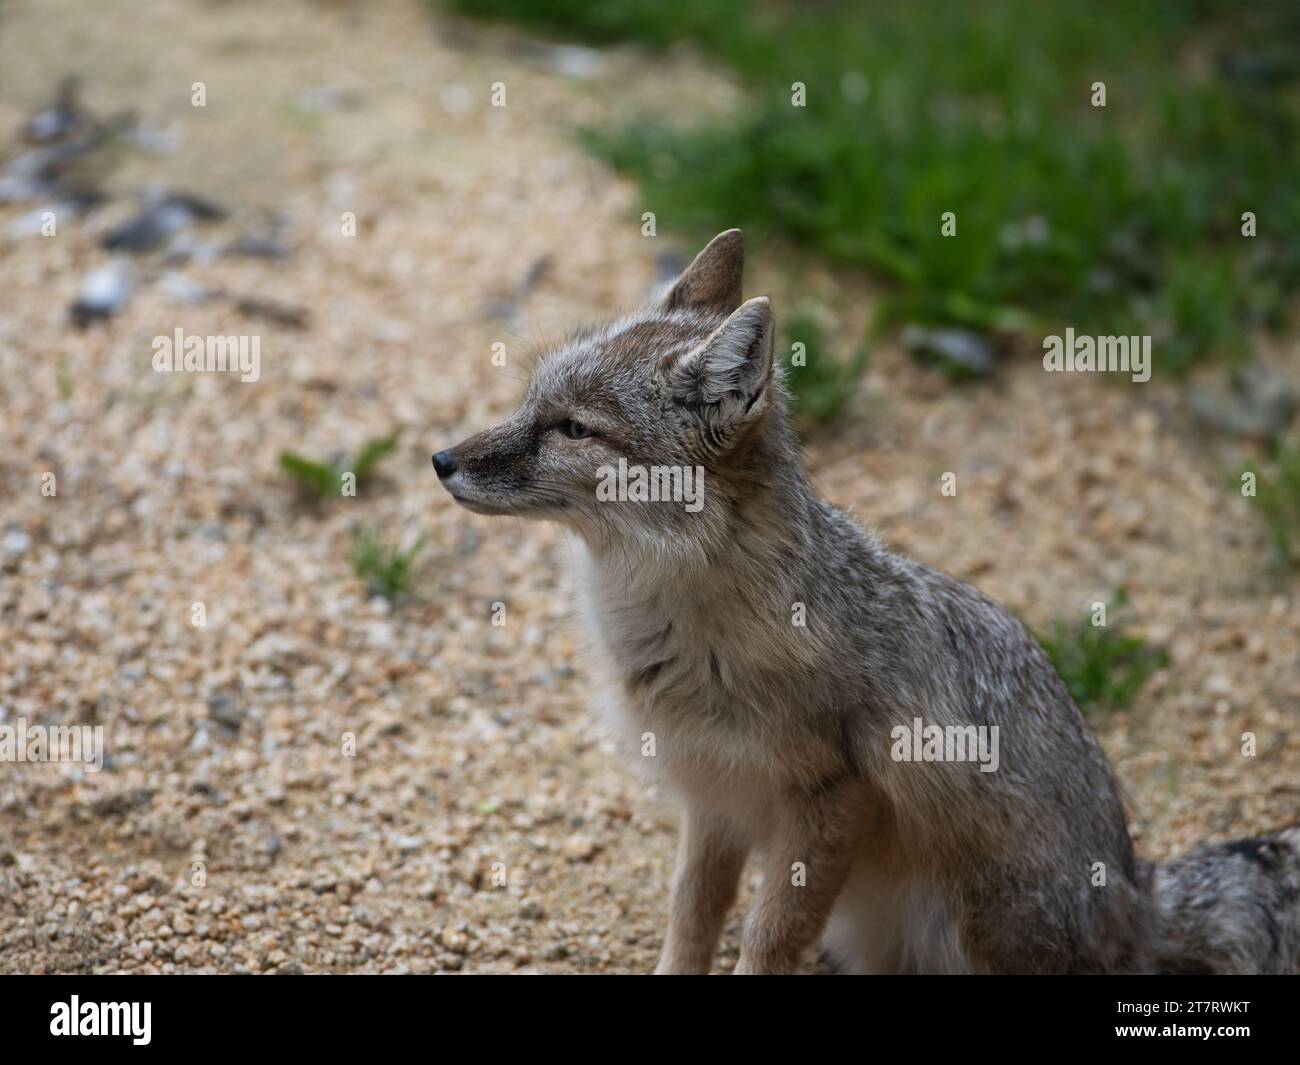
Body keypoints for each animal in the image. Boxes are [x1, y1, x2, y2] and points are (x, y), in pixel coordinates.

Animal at [433, 229, 1300, 974]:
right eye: (531, 403)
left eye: (573, 428)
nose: (441, 459)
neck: (674, 627)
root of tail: (1136, 892)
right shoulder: (714, 799)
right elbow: (691, 917)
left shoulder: (831, 799)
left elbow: (768, 938)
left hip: (972, 921)